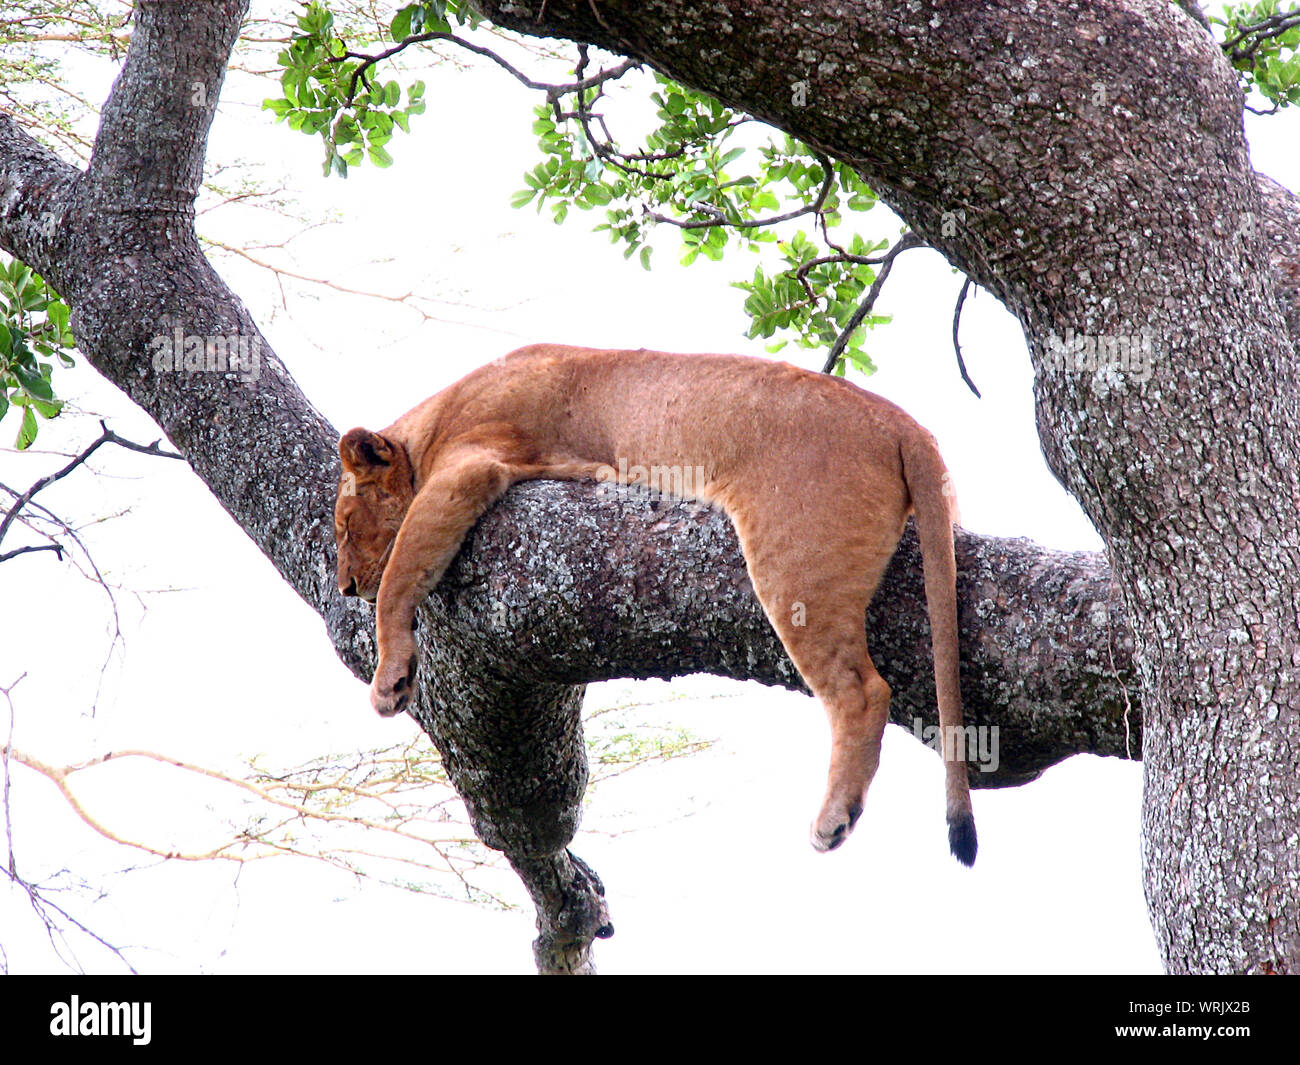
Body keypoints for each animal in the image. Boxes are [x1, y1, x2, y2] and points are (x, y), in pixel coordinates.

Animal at [335, 344, 977, 864]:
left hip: (797, 564)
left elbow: (399, 575)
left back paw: (835, 817)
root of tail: (902, 421)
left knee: (862, 691)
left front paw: (390, 679)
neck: (435, 422)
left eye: (342, 524)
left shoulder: (476, 459)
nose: (343, 586)